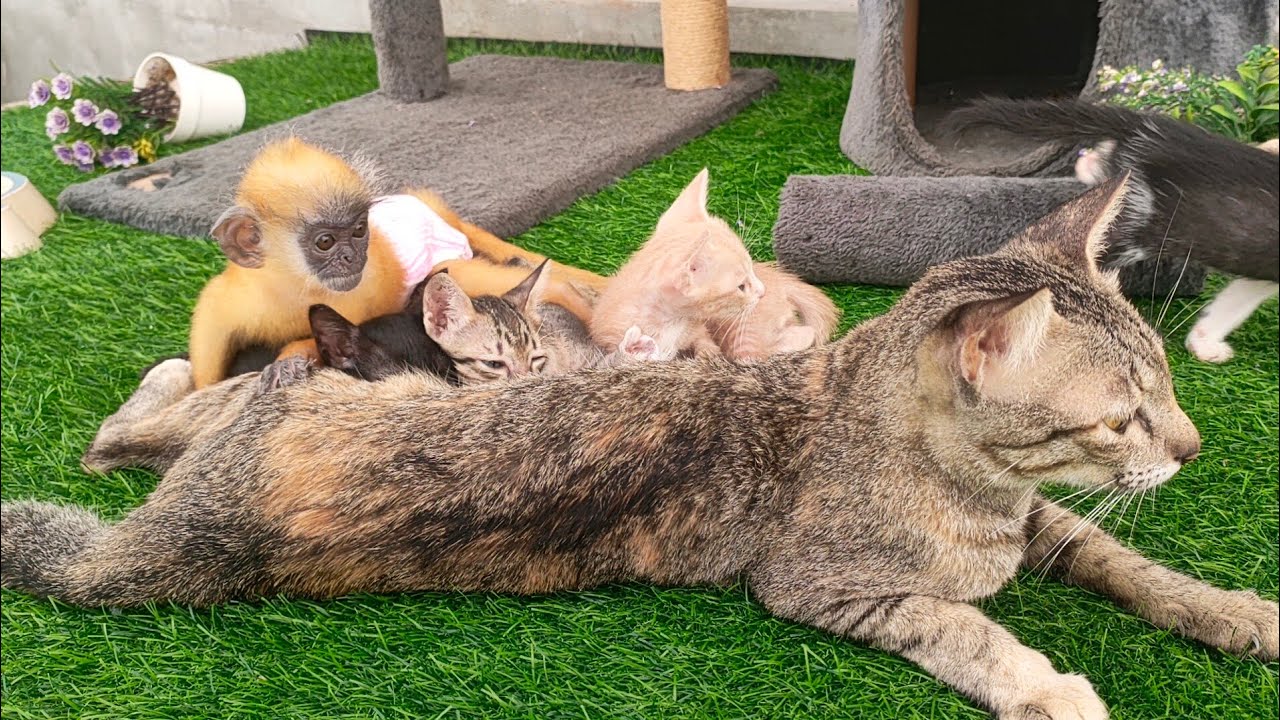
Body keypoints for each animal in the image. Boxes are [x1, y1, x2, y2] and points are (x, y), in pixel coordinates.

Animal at [188, 138, 609, 388]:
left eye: (359, 231)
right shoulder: (236, 296)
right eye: (325, 242)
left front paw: (288, 358)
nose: (352, 256)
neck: (296, 286)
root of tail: (429, 205)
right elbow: (208, 357)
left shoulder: (368, 291)